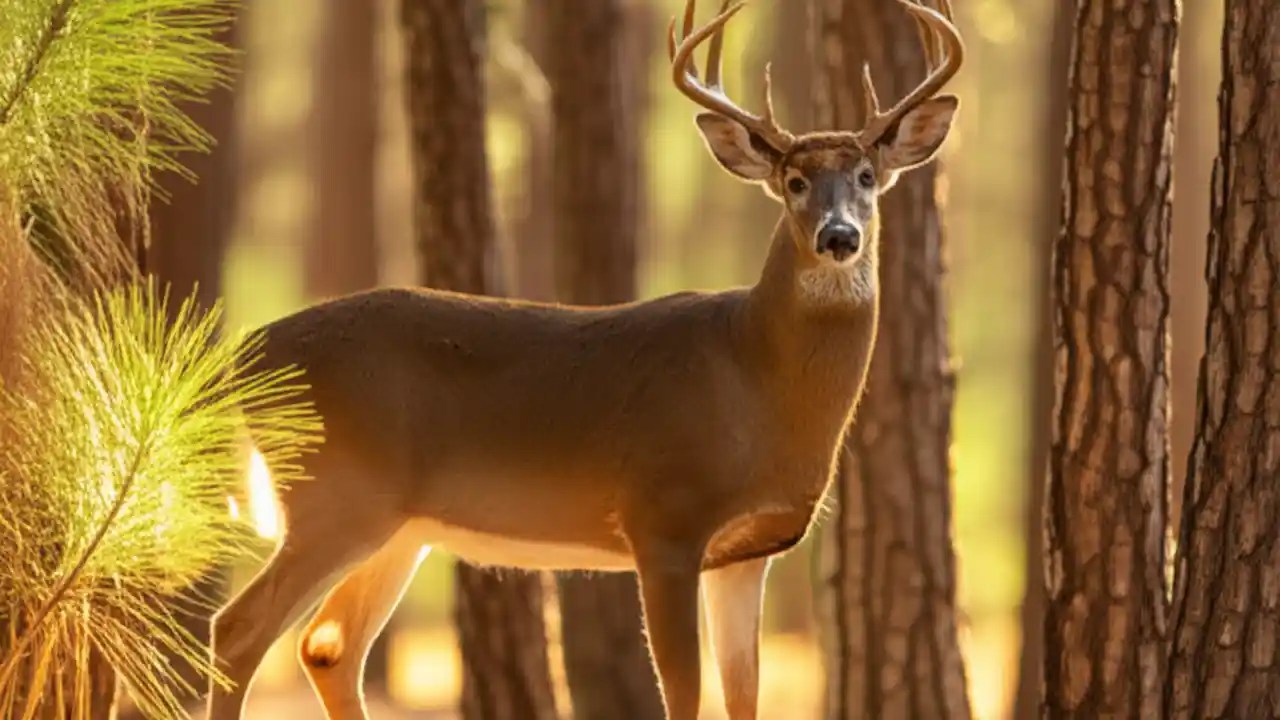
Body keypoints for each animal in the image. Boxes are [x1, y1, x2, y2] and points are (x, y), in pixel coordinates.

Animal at [206, 1, 962, 718]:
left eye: (867, 175)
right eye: (795, 180)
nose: (839, 236)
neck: (754, 378)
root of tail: (244, 353)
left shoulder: (749, 551)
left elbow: (743, 696)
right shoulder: (663, 517)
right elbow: (683, 693)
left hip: (397, 524)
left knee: (327, 647)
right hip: (335, 494)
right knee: (237, 629)